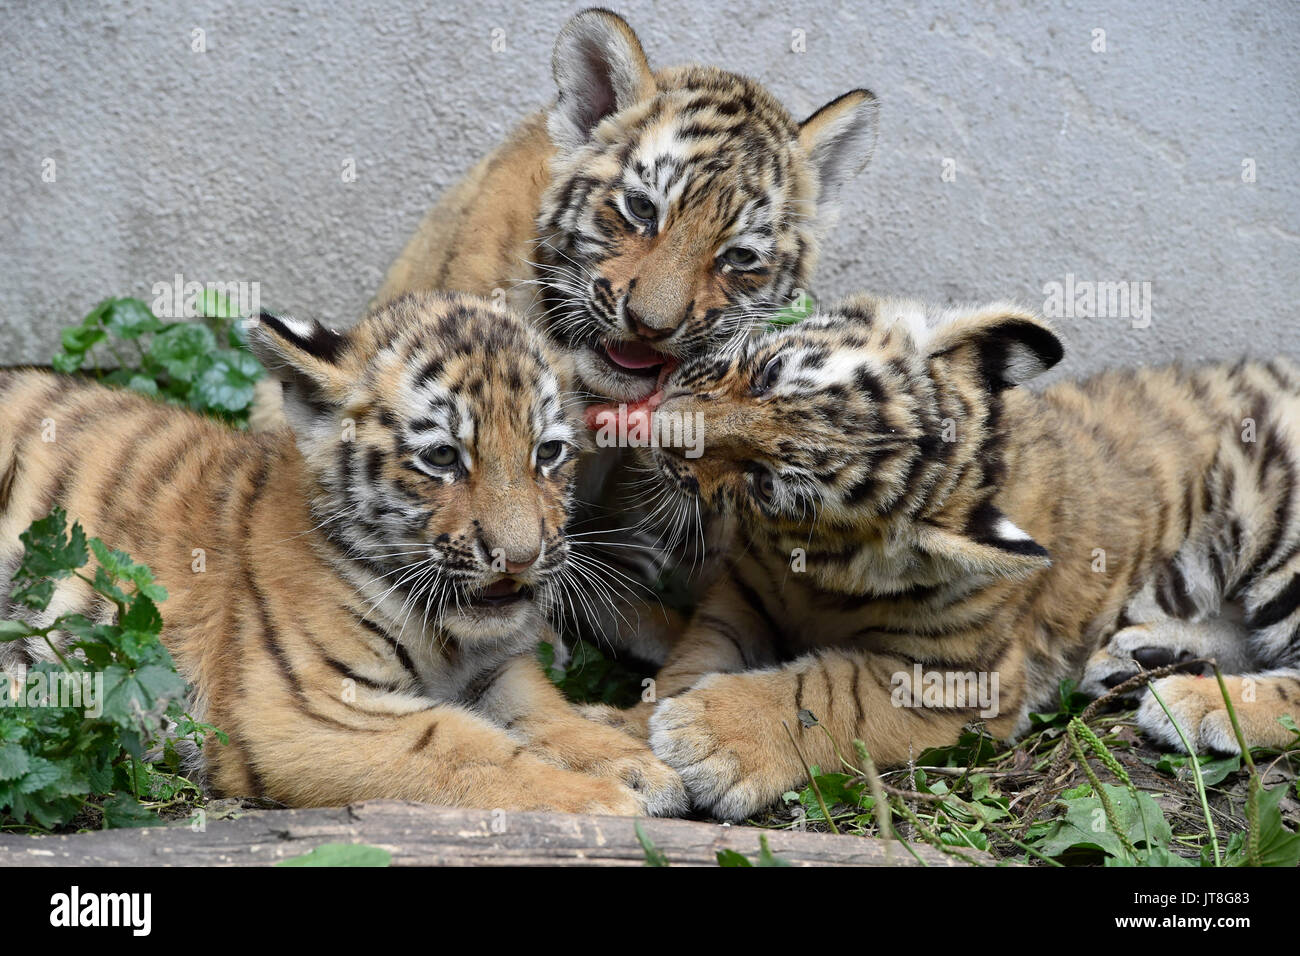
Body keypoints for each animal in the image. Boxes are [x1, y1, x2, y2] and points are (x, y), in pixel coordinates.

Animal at [0, 291, 686, 815]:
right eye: (443, 457)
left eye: (548, 452)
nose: (520, 558)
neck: (449, 638)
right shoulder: (309, 710)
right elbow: (465, 747)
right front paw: (604, 799)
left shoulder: (499, 668)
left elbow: (545, 713)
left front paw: (636, 765)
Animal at [591, 294, 1300, 820]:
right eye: (766, 376)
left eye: (766, 482)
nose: (657, 428)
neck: (808, 569)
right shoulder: (743, 594)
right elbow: (693, 661)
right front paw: (628, 735)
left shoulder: (962, 679)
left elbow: (827, 693)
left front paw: (710, 738)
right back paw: (1144, 656)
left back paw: (1193, 704)